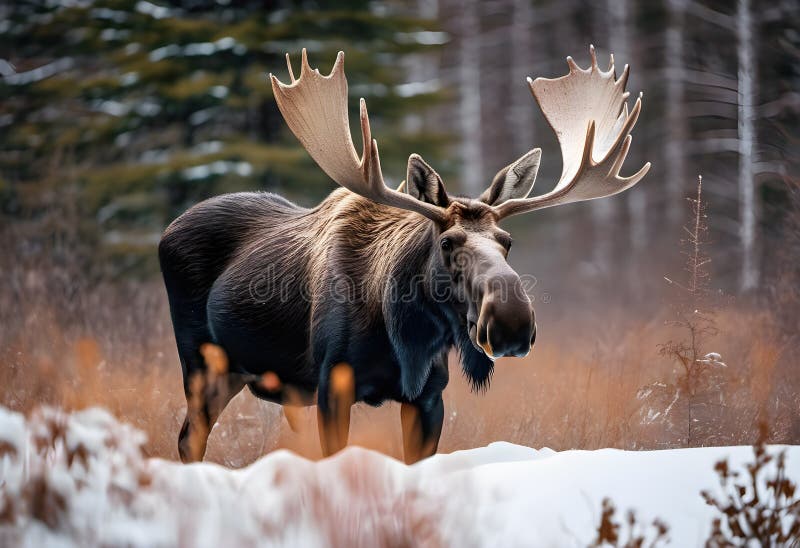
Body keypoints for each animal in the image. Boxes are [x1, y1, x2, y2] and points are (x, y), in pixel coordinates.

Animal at [159, 46, 650, 464]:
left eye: (507, 240)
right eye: (448, 243)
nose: (511, 322)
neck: (406, 334)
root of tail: (166, 231)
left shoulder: (429, 396)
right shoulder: (332, 385)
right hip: (201, 364)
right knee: (188, 439)